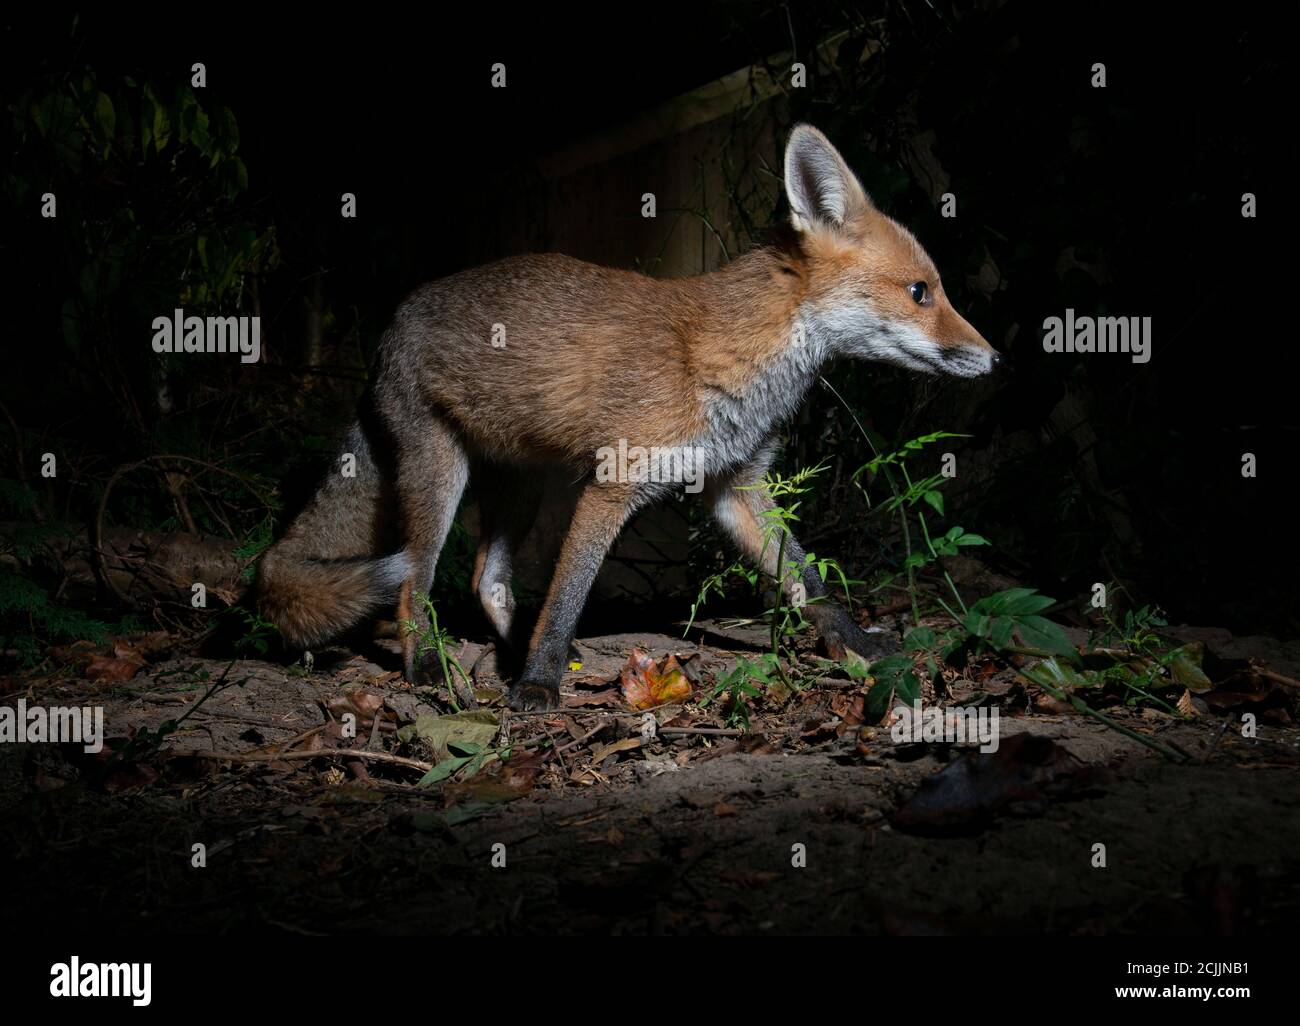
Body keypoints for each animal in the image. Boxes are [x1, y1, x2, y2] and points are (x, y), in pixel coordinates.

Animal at [255, 124, 999, 711]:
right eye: (921, 292)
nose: (995, 359)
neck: (735, 352)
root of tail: (387, 331)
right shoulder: (612, 485)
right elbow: (568, 594)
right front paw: (538, 685)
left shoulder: (735, 485)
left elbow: (808, 581)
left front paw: (859, 644)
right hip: (440, 478)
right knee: (415, 586)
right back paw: (435, 669)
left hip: (522, 485)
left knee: (487, 580)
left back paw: (508, 650)